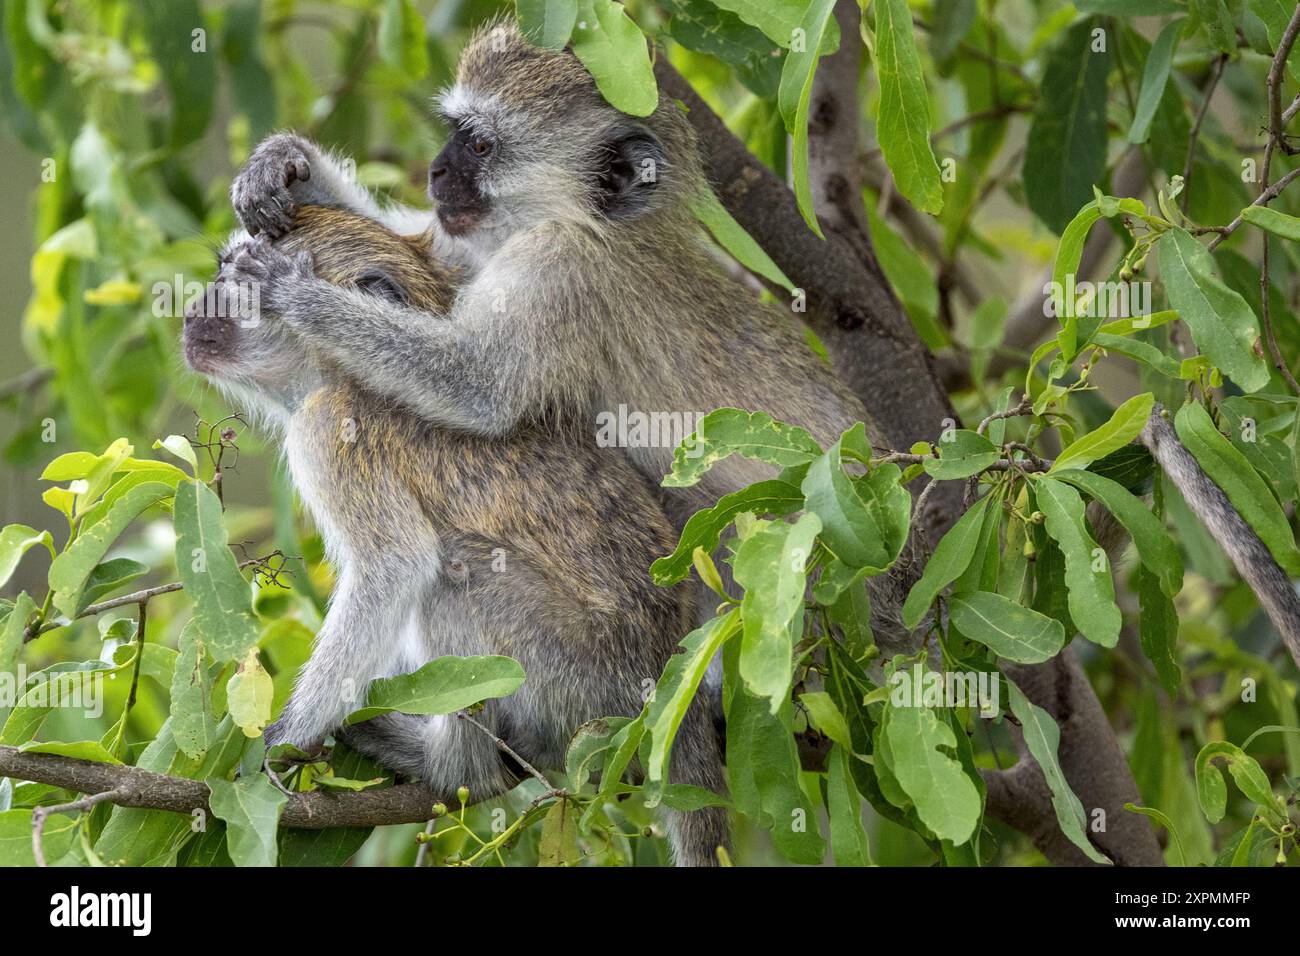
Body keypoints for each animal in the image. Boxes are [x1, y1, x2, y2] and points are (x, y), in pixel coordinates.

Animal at [182, 205, 729, 867]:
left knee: (456, 577)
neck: (336, 373)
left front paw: (285, 739)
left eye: (236, 281)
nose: (193, 311)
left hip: (584, 675)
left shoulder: (332, 433)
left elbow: (395, 569)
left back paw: (451, 766)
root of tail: (673, 672)